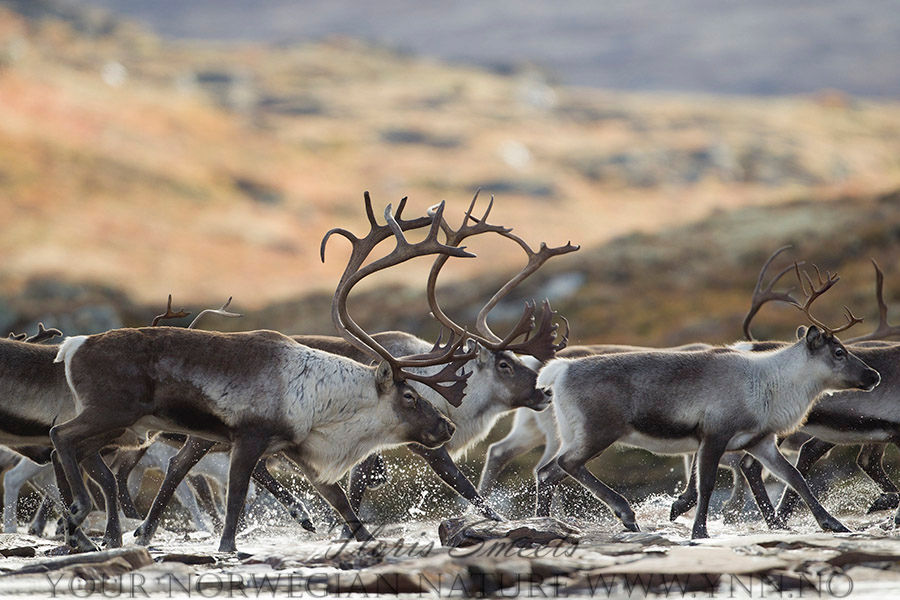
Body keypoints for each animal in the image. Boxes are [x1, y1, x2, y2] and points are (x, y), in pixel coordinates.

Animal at [51, 199, 478, 553]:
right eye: (409, 396)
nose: (447, 426)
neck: (322, 401)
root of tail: (72, 346)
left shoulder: (298, 449)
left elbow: (341, 503)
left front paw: (365, 538)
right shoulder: (249, 437)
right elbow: (236, 503)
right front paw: (228, 547)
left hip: (125, 427)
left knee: (79, 451)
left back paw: (86, 530)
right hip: (112, 412)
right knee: (60, 435)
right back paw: (78, 515)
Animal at [534, 261, 880, 539]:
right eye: (839, 352)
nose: (873, 376)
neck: (770, 384)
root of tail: (559, 370)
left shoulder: (760, 441)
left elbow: (796, 478)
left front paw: (834, 524)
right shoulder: (715, 434)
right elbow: (708, 484)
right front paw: (699, 532)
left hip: (573, 434)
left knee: (547, 472)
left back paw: (545, 520)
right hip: (599, 431)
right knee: (566, 464)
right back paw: (626, 514)